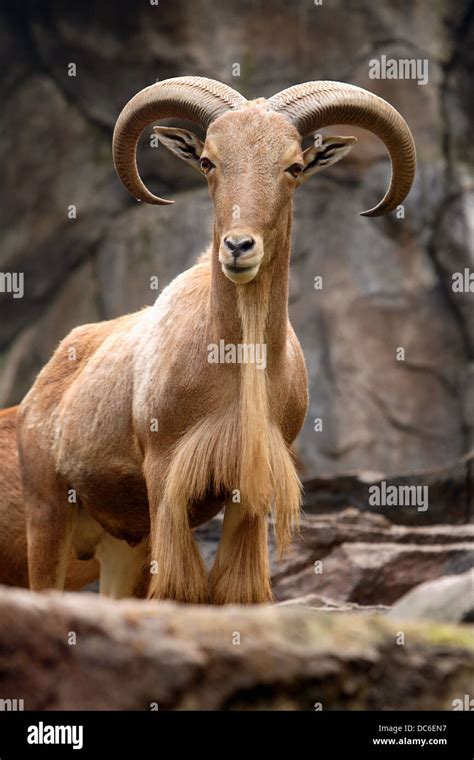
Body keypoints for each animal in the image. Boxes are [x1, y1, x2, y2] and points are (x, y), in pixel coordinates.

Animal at [18, 77, 415, 603]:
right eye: (208, 161)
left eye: (293, 166)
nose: (238, 247)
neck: (232, 364)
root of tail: (41, 386)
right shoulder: (165, 474)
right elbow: (179, 588)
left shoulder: (250, 482)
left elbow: (235, 588)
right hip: (47, 511)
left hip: (119, 543)